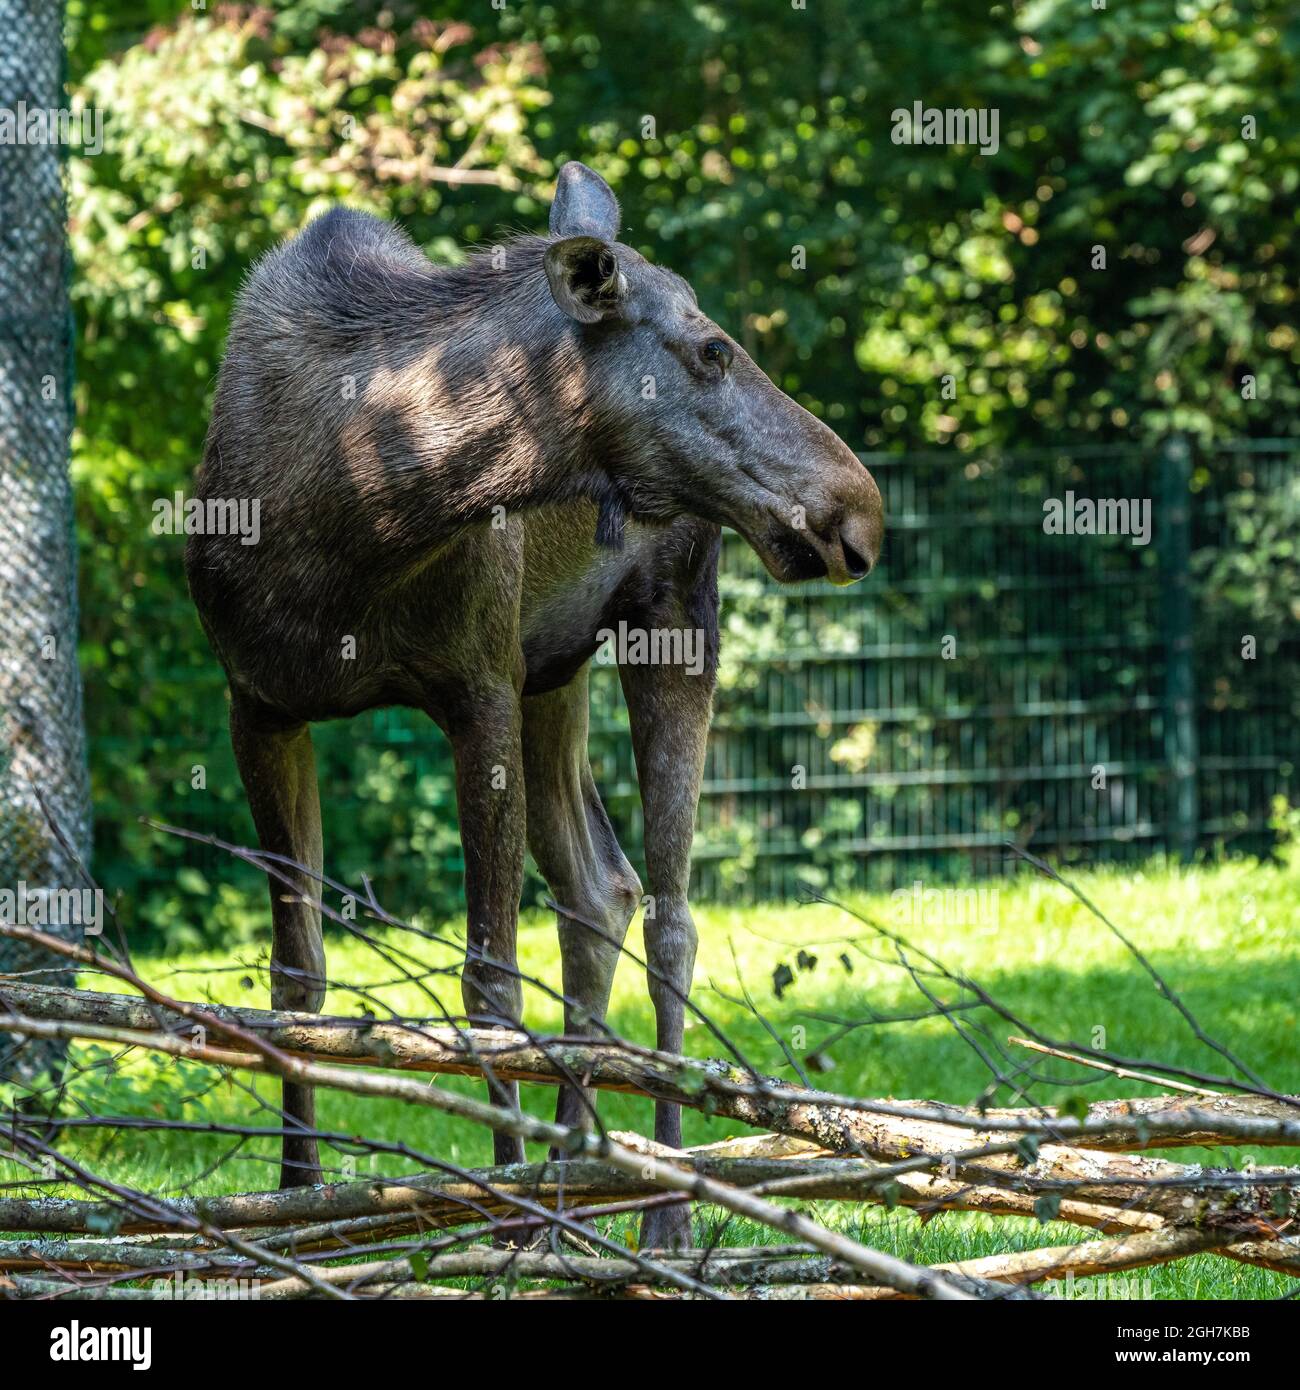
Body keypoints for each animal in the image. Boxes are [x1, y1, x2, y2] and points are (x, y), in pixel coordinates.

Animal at [186, 161, 882, 1248]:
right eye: (712, 349)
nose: (858, 503)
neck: (353, 524)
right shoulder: (258, 703)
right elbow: (295, 974)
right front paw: (298, 1200)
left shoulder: (476, 686)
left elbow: (489, 980)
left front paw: (495, 1204)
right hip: (555, 668)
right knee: (600, 889)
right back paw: (578, 1178)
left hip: (671, 617)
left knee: (670, 915)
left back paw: (661, 1209)